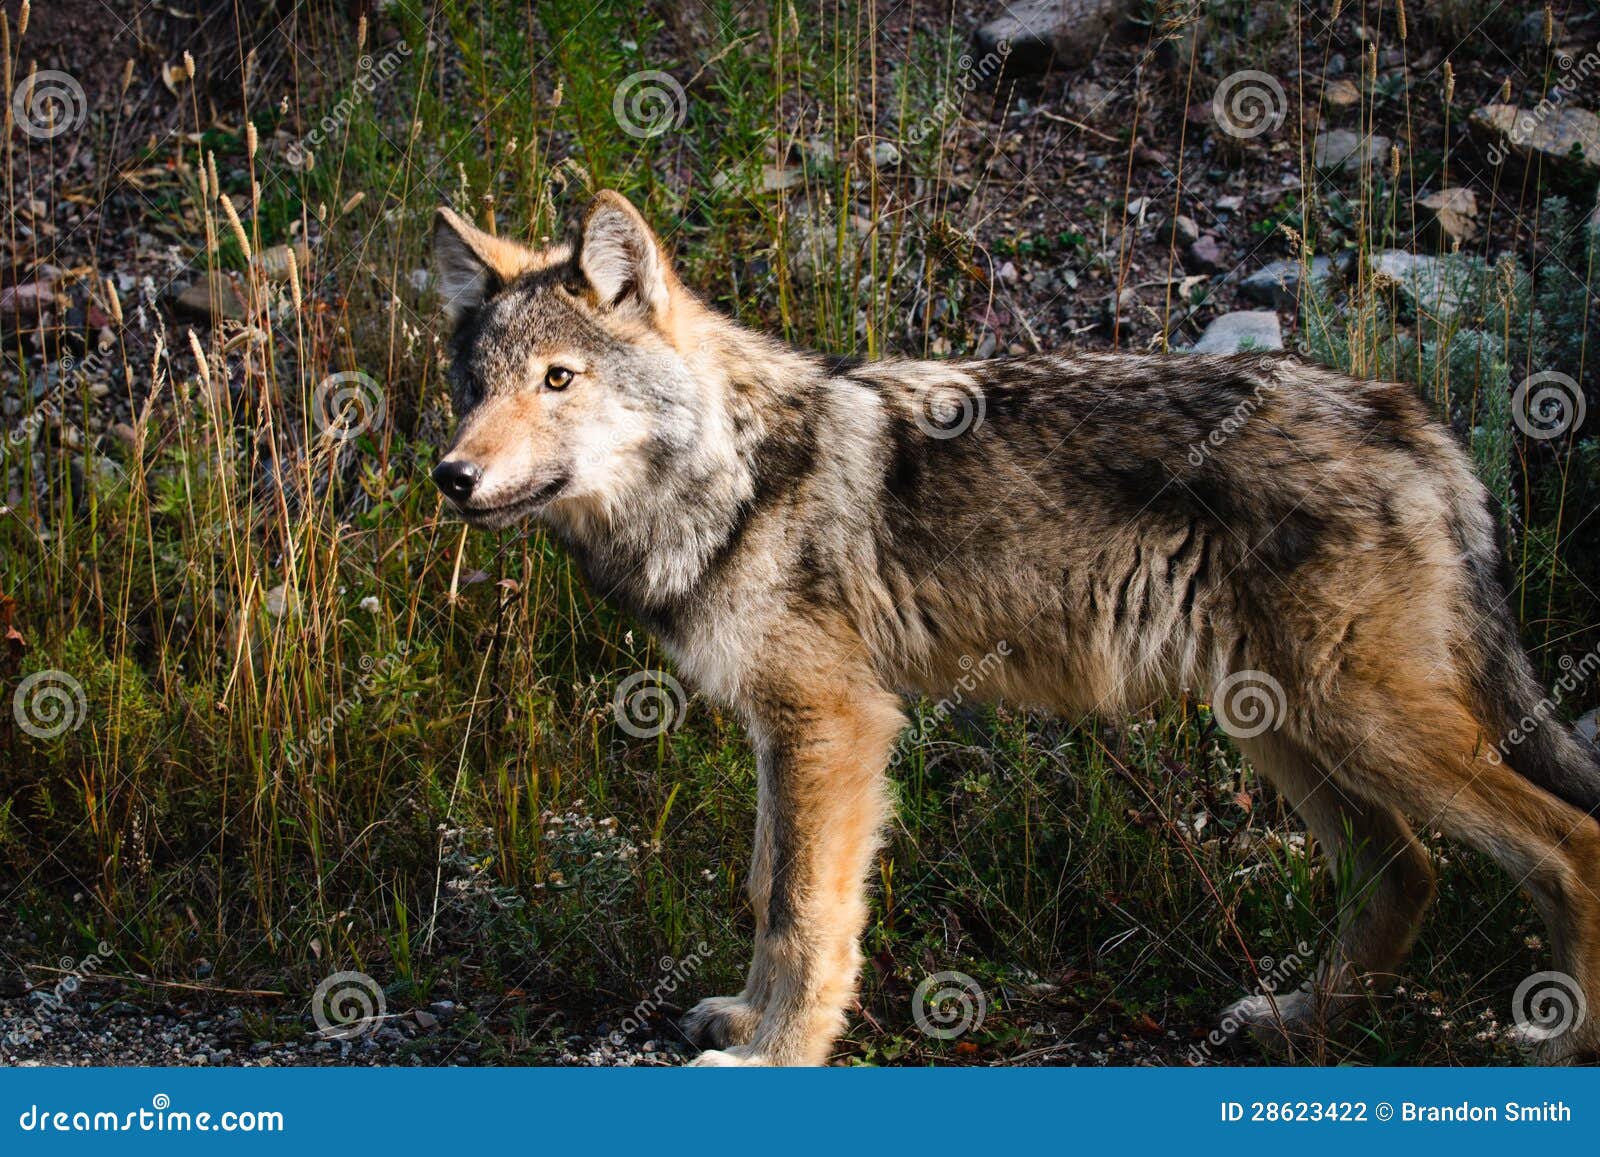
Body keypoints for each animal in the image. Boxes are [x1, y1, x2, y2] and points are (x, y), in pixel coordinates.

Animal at [430, 191, 1600, 1066]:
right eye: (472, 386)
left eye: (558, 379)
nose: (451, 475)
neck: (736, 476)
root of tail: (1408, 415)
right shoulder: (786, 731)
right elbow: (770, 889)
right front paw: (750, 1018)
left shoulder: (836, 723)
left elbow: (806, 912)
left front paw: (773, 1055)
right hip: (1279, 725)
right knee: (1406, 873)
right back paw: (1298, 1021)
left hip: (1364, 724)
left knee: (1567, 844)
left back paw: (1552, 1042)